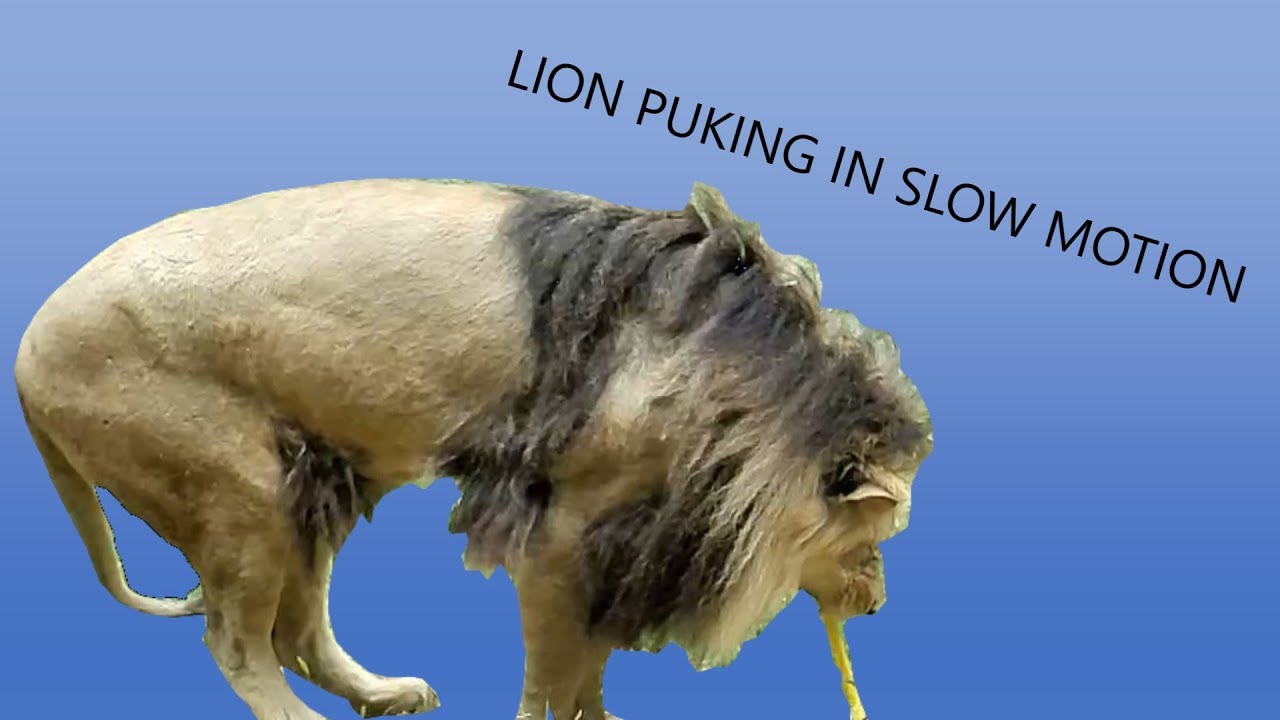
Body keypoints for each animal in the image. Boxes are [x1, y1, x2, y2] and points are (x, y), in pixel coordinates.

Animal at [13, 178, 932, 720]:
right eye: (873, 541)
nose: (878, 604)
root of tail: (22, 359)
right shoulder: (562, 538)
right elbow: (555, 676)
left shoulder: (617, 555)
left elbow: (590, 675)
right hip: (239, 491)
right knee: (238, 646)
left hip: (315, 479)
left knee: (298, 634)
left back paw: (381, 694)